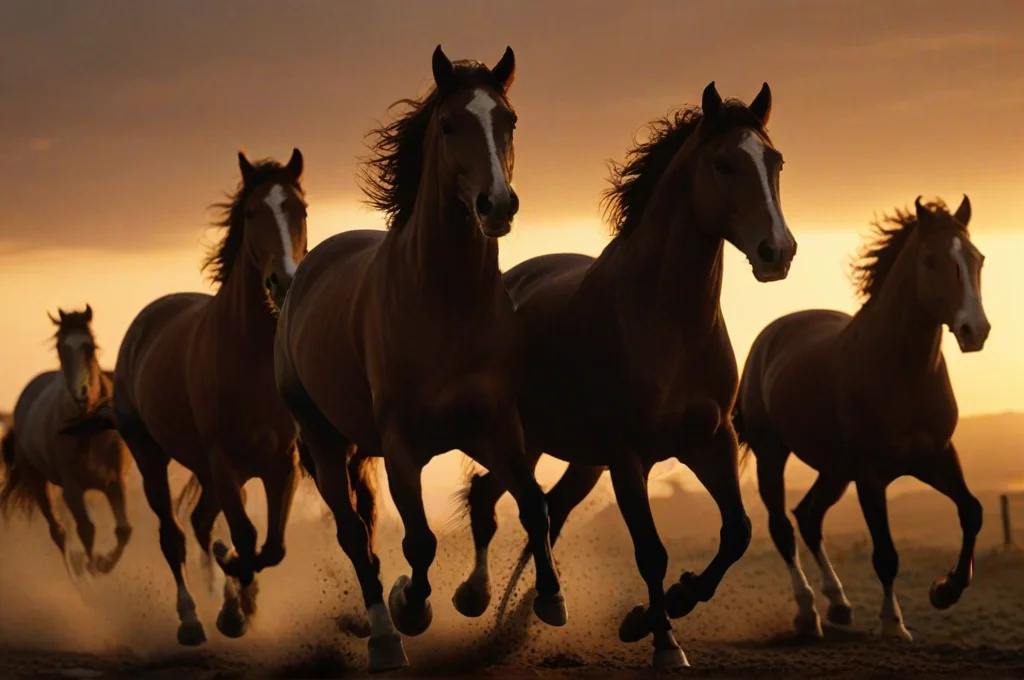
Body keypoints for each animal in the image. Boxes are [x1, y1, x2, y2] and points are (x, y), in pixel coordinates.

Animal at [0, 306, 132, 580]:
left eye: (90, 346)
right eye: (61, 348)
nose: (81, 393)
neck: (88, 429)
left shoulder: (115, 482)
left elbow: (123, 529)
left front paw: (103, 563)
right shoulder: (72, 487)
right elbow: (86, 528)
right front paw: (92, 572)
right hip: (39, 483)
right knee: (59, 531)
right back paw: (74, 576)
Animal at [63, 149, 308, 646]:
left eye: (301, 210)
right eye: (251, 213)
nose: (282, 281)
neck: (250, 356)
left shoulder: (281, 463)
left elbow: (272, 546)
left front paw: (240, 602)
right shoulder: (224, 460)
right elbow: (245, 537)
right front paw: (232, 602)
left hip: (209, 470)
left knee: (200, 524)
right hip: (151, 456)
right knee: (173, 535)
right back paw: (192, 619)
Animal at [274, 45, 565, 673]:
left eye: (508, 120)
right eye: (450, 123)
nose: (497, 204)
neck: (445, 304)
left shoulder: (496, 428)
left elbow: (532, 506)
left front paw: (550, 601)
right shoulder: (402, 443)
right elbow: (420, 540)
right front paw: (410, 604)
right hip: (323, 439)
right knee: (353, 534)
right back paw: (385, 639)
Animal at [456, 81, 797, 669]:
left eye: (773, 161)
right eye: (724, 163)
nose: (778, 252)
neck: (668, 320)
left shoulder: (710, 441)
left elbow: (737, 531)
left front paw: (667, 606)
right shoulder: (627, 456)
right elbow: (651, 551)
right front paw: (663, 642)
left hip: (574, 458)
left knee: (547, 510)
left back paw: (524, 613)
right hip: (524, 443)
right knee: (494, 500)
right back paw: (480, 601)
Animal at [734, 196, 988, 641]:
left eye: (978, 259)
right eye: (931, 260)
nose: (976, 330)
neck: (904, 374)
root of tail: (771, 334)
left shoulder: (938, 458)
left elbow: (971, 511)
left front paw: (945, 590)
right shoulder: (871, 476)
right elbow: (885, 553)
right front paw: (893, 625)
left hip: (834, 470)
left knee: (809, 516)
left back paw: (839, 604)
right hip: (773, 455)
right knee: (783, 527)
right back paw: (808, 614)